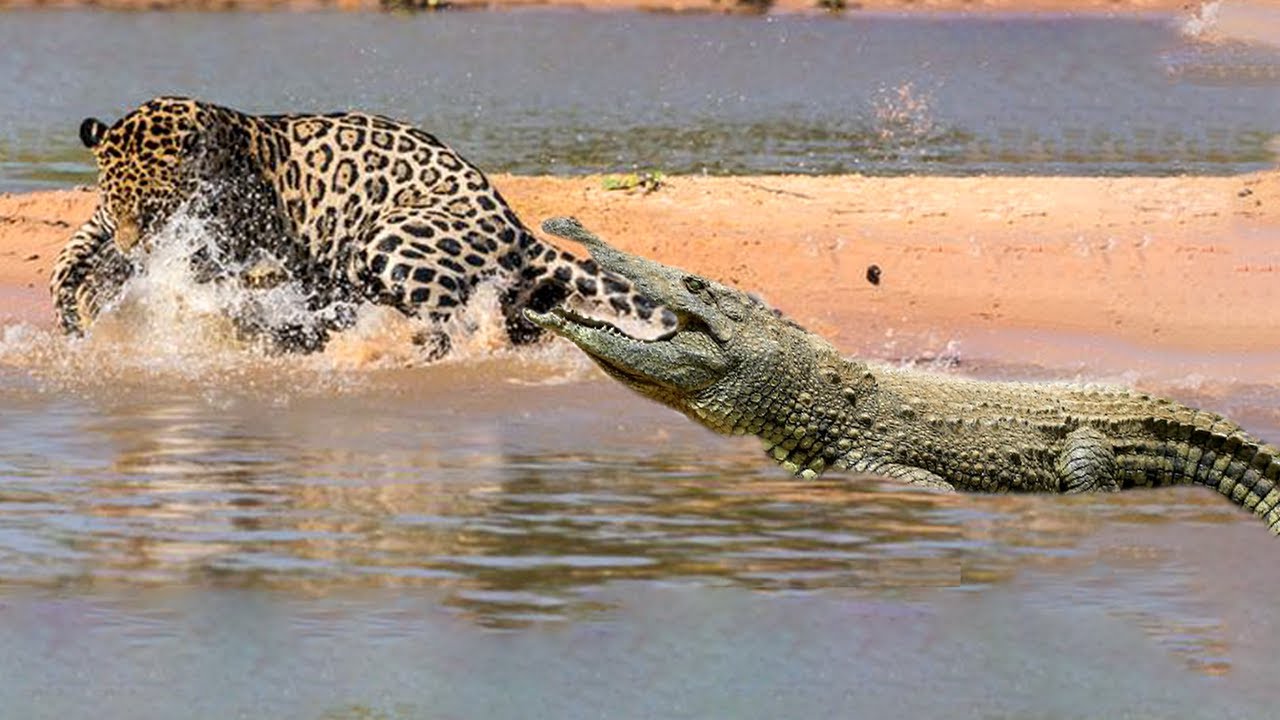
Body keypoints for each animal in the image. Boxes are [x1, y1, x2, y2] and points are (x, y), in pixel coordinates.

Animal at [50, 96, 668, 354]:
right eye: (116, 201)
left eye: (155, 207)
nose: (136, 246)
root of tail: (518, 228)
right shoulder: (104, 222)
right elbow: (70, 256)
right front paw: (77, 311)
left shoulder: (234, 242)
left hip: (392, 236)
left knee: (454, 323)